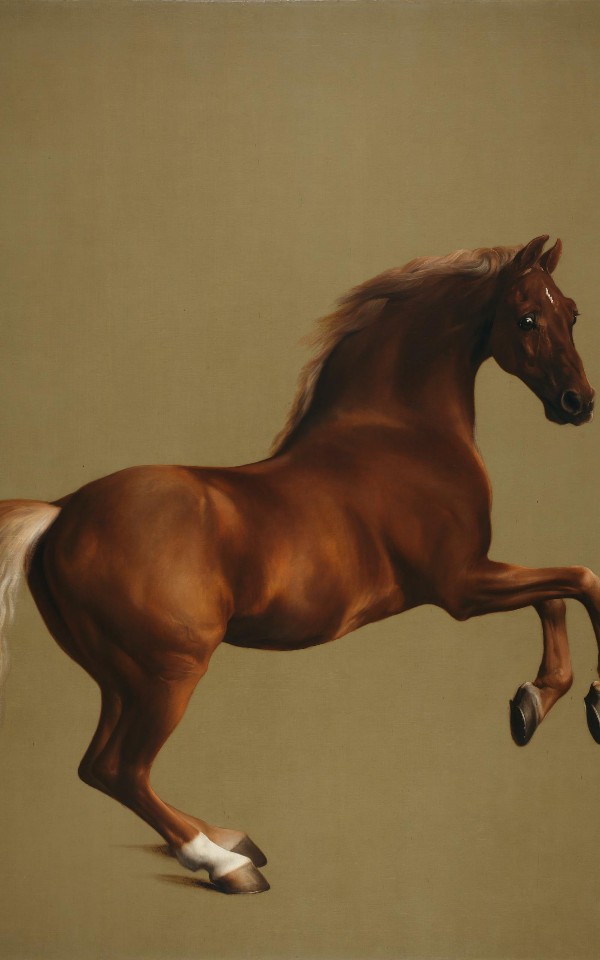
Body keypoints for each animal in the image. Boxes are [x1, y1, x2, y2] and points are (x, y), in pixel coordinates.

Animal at [1, 234, 599, 895]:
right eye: (526, 318)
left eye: (572, 313)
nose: (578, 403)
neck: (402, 436)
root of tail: (61, 513)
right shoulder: (463, 586)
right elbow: (580, 581)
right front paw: (583, 705)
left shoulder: (477, 578)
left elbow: (556, 595)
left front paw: (530, 704)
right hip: (168, 673)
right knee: (118, 769)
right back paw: (225, 863)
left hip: (119, 678)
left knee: (99, 767)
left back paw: (230, 839)